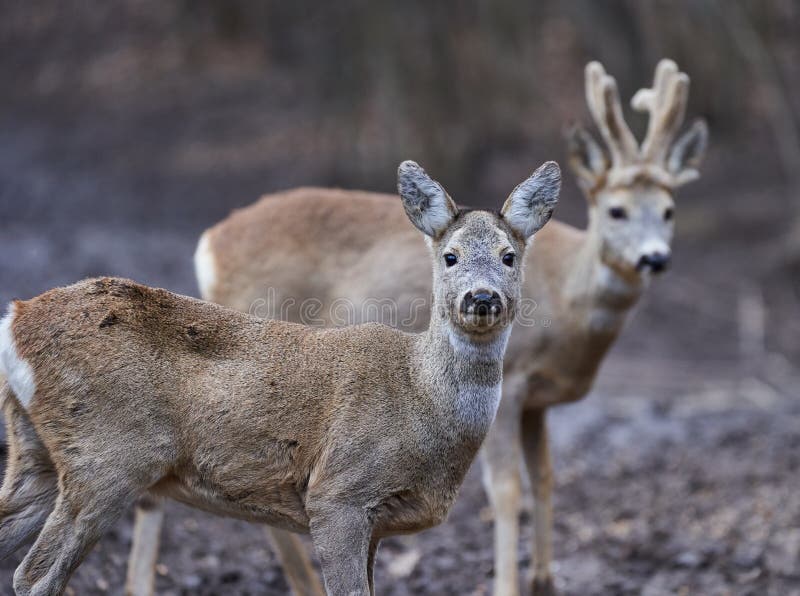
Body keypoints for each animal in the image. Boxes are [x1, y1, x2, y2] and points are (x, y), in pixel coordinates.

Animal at [0, 160, 560, 596]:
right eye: (450, 256)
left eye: (510, 256)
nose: (482, 298)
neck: (419, 397)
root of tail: (16, 321)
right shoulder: (339, 492)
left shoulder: (376, 523)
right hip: (107, 455)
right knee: (34, 575)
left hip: (40, 452)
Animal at [125, 59, 707, 596]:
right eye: (616, 210)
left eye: (670, 210)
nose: (655, 258)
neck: (571, 302)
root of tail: (208, 243)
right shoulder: (516, 380)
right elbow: (507, 490)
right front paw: (509, 585)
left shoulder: (539, 400)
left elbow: (545, 479)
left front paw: (546, 581)